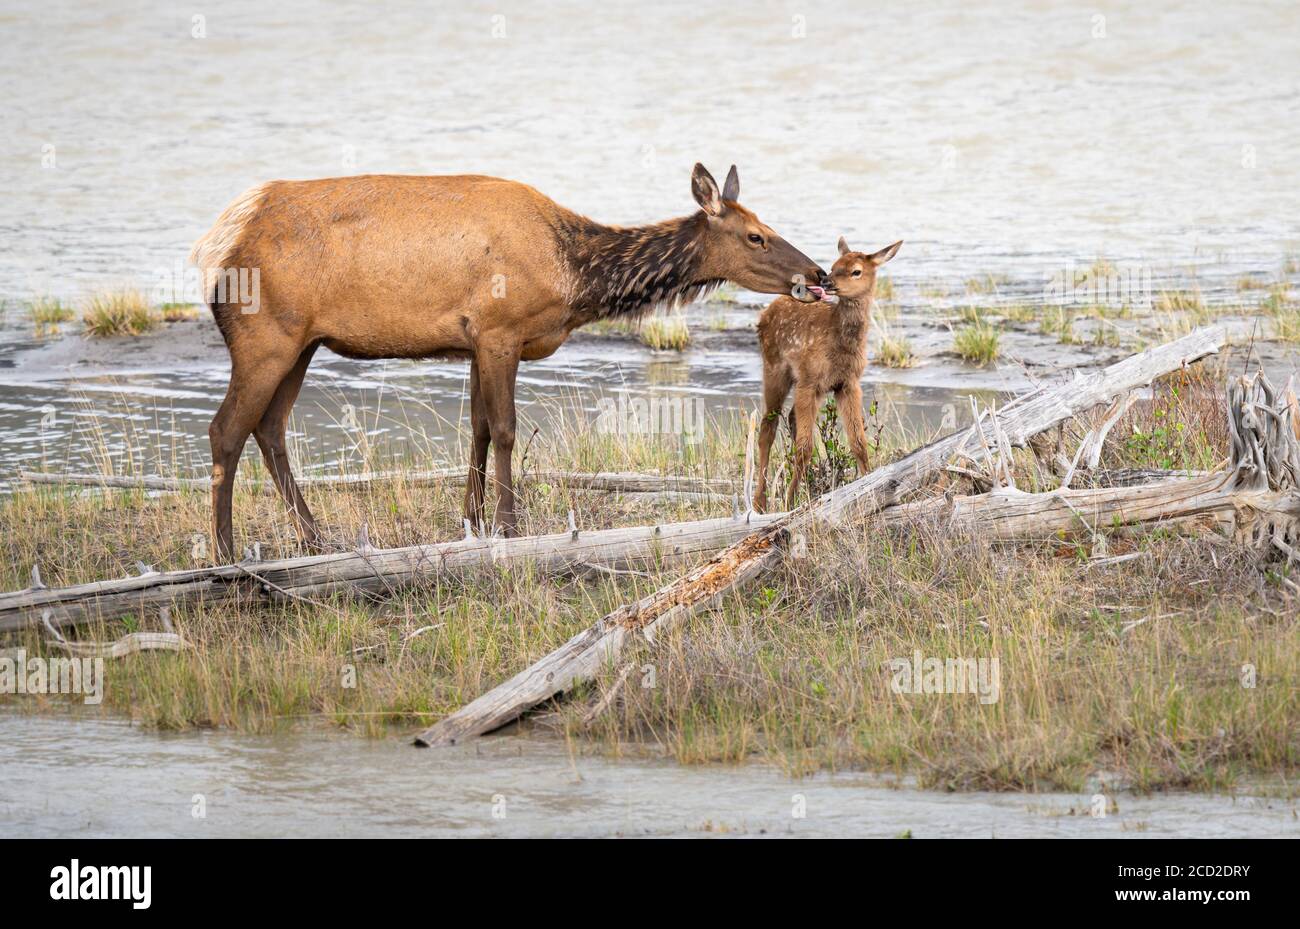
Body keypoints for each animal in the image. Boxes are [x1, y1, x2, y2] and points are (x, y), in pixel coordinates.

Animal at [190, 164, 831, 562]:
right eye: (755, 236)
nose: (819, 273)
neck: (574, 274)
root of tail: (214, 244)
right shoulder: (499, 330)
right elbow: (504, 429)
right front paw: (508, 527)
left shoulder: (478, 340)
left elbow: (474, 429)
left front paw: (470, 523)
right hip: (265, 336)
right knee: (226, 430)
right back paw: (224, 553)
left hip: (302, 343)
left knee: (270, 429)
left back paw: (316, 539)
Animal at [752, 237, 903, 513]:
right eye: (834, 266)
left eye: (856, 271)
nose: (826, 282)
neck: (840, 345)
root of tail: (765, 312)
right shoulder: (808, 380)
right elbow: (805, 447)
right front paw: (789, 501)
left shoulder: (848, 383)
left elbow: (859, 443)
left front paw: (868, 485)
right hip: (775, 368)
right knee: (768, 426)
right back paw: (760, 502)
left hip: (814, 387)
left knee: (790, 418)